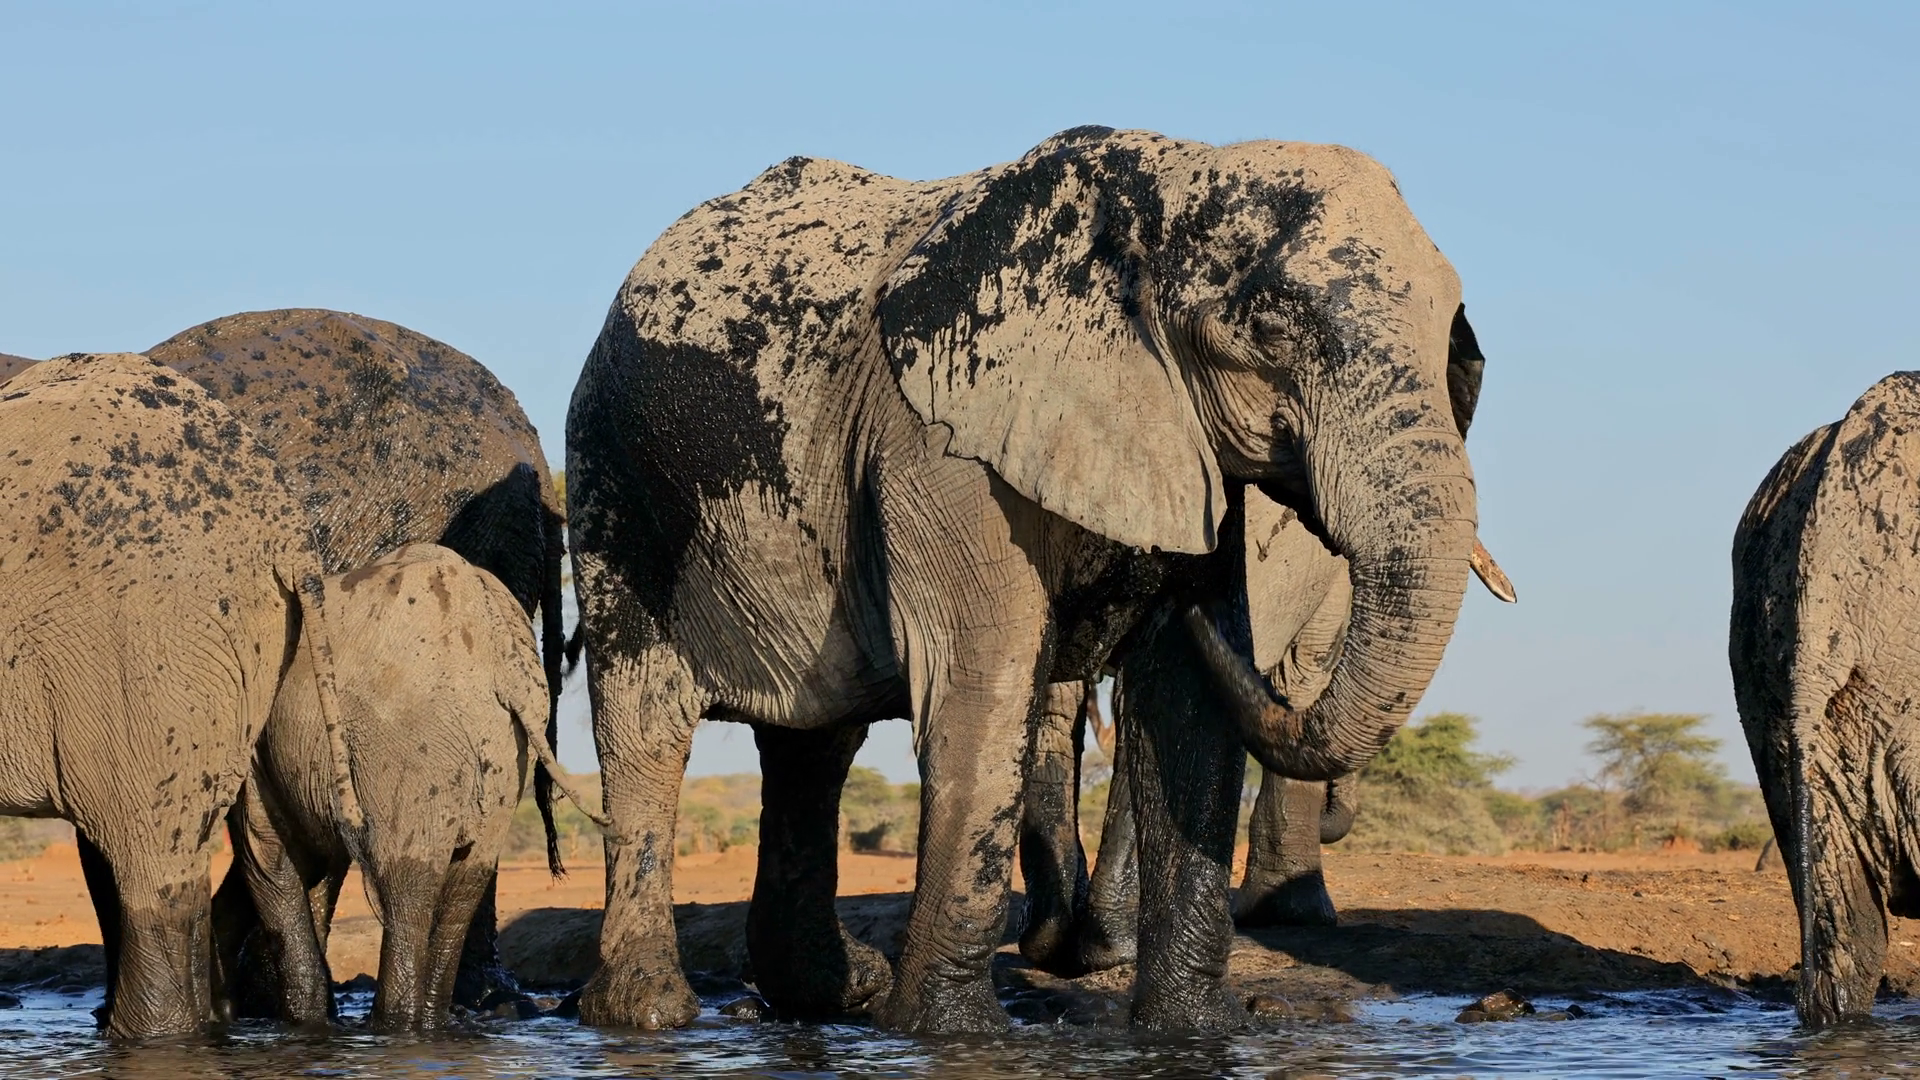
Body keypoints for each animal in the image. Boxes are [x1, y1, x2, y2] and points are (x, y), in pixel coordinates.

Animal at [224, 544, 608, 1030]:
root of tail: (500, 655)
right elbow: (313, 866)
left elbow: (267, 857)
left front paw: (302, 1024)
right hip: (505, 749)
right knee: (464, 885)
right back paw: (427, 1023)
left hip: (409, 747)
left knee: (406, 889)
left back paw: (394, 1027)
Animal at [567, 126, 1485, 1032]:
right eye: (1267, 328)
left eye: (1450, 329)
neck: (1172, 177)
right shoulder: (939, 439)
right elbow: (985, 680)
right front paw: (946, 1034)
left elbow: (1186, 705)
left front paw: (1195, 1032)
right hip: (613, 491)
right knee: (647, 729)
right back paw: (649, 1014)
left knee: (814, 745)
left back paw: (839, 991)